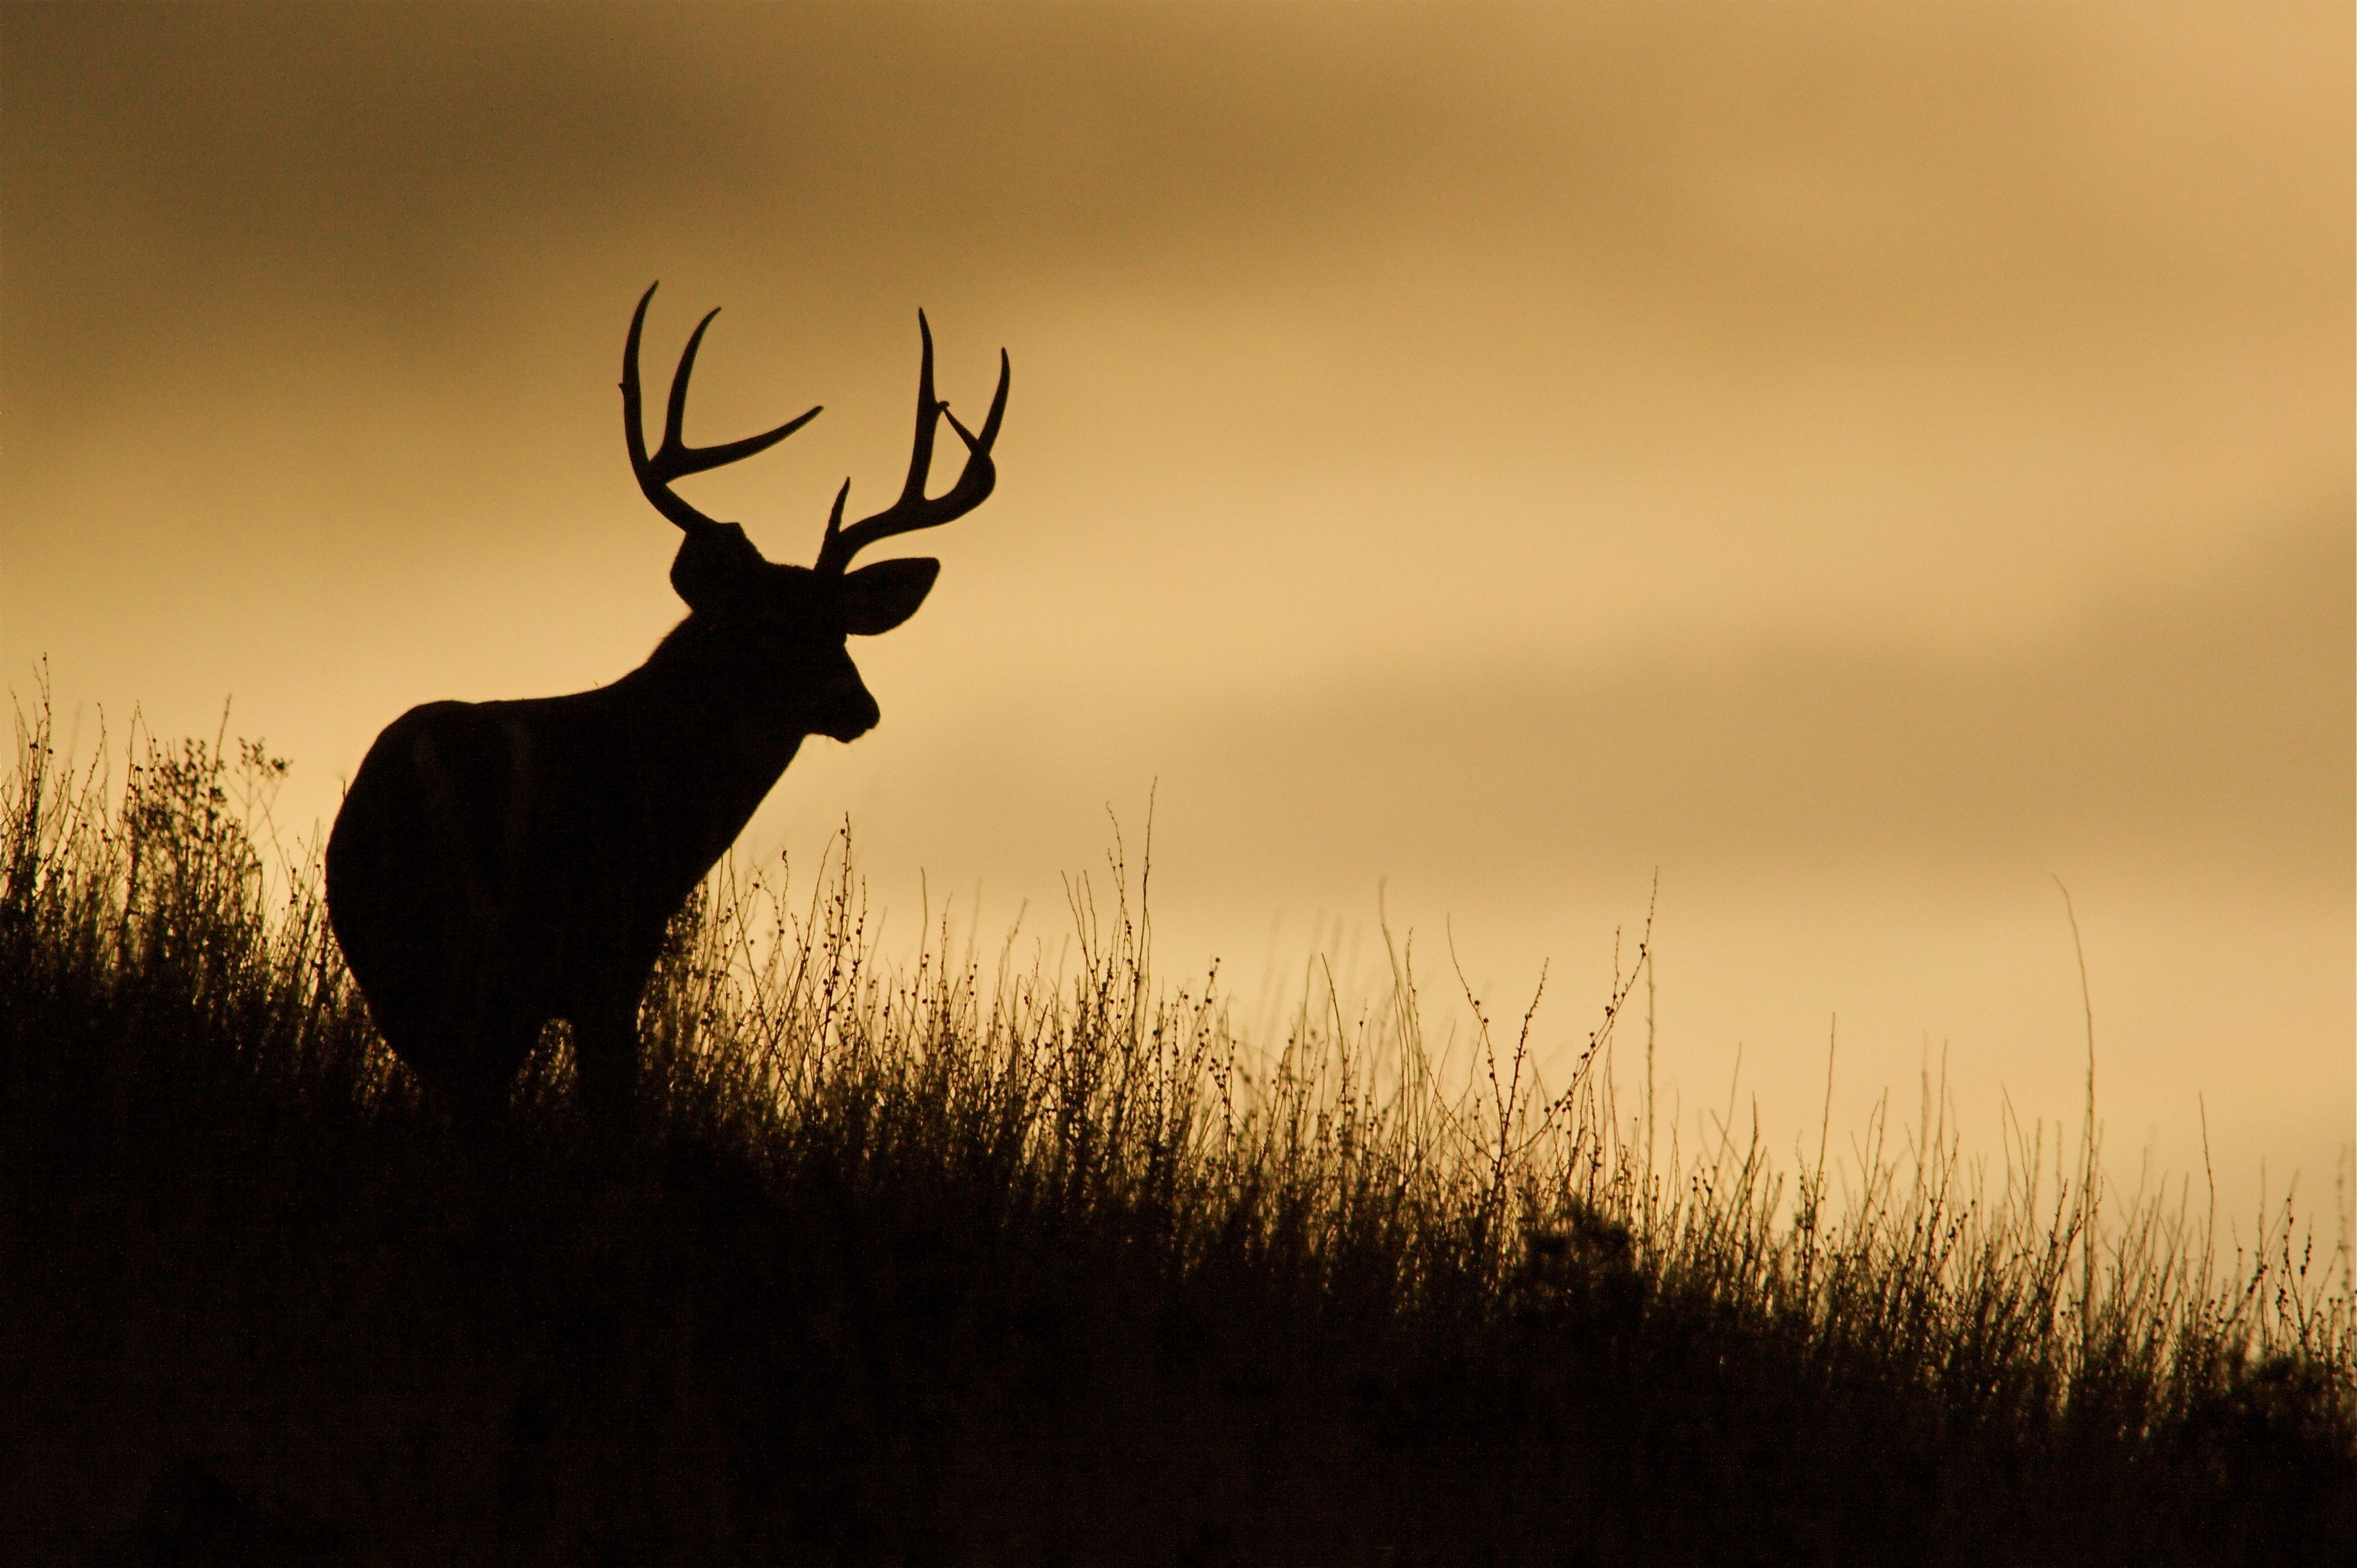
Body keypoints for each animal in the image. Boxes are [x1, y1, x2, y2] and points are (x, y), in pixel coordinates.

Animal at [325, 283, 1008, 1127]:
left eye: (841, 626)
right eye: (767, 623)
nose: (859, 706)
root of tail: (421, 773)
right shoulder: (614, 956)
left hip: (399, 963)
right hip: (506, 951)